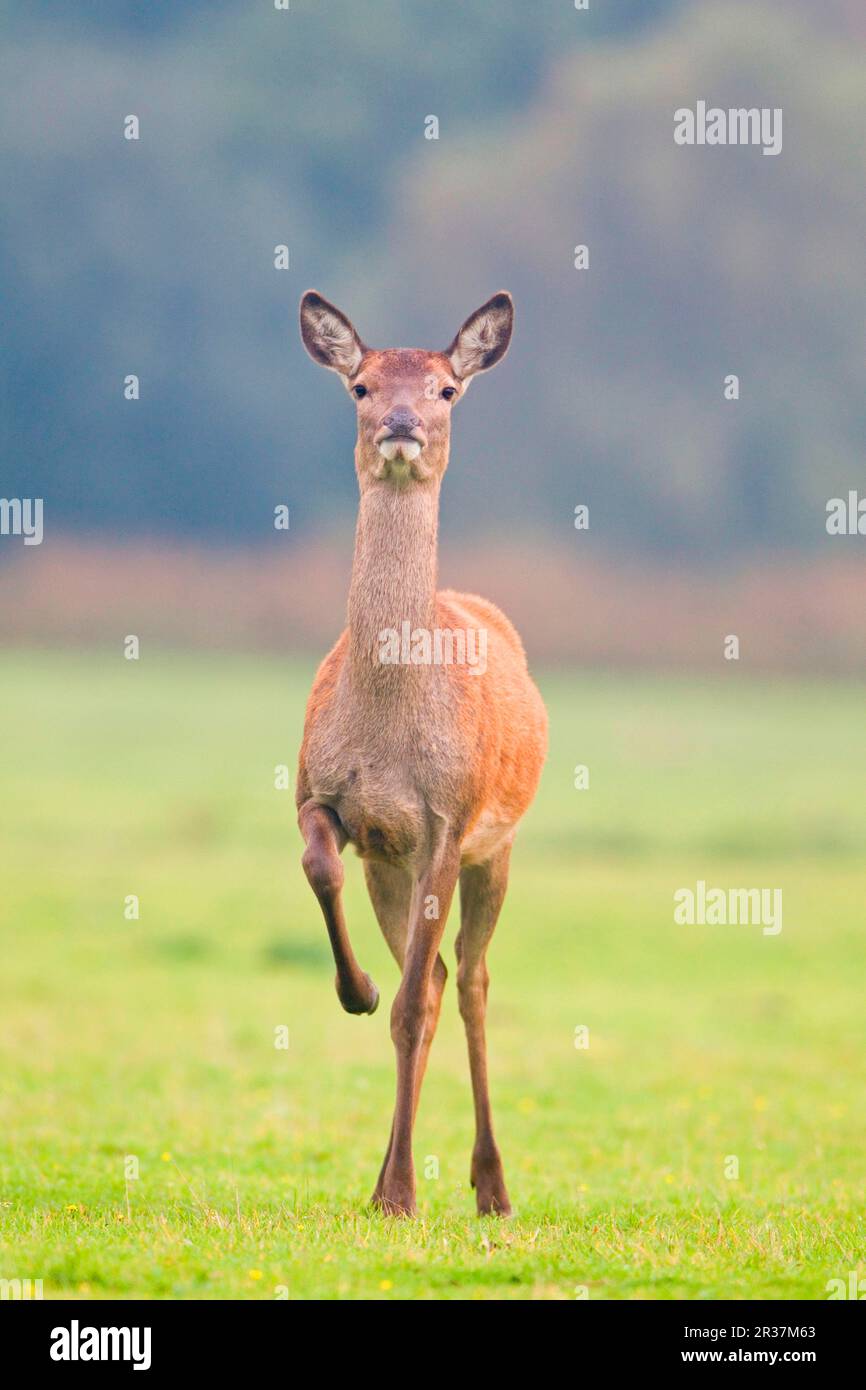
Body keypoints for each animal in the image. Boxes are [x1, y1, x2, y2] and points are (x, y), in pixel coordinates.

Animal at [296, 289, 547, 1217]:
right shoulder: (332, 799)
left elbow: (415, 1007)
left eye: (445, 388)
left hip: (496, 845)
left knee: (469, 982)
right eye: (361, 385)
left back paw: (491, 1187)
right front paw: (356, 989)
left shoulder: (448, 817)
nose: (401, 424)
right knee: (437, 978)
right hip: (394, 868)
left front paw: (406, 1194)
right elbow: (319, 868)